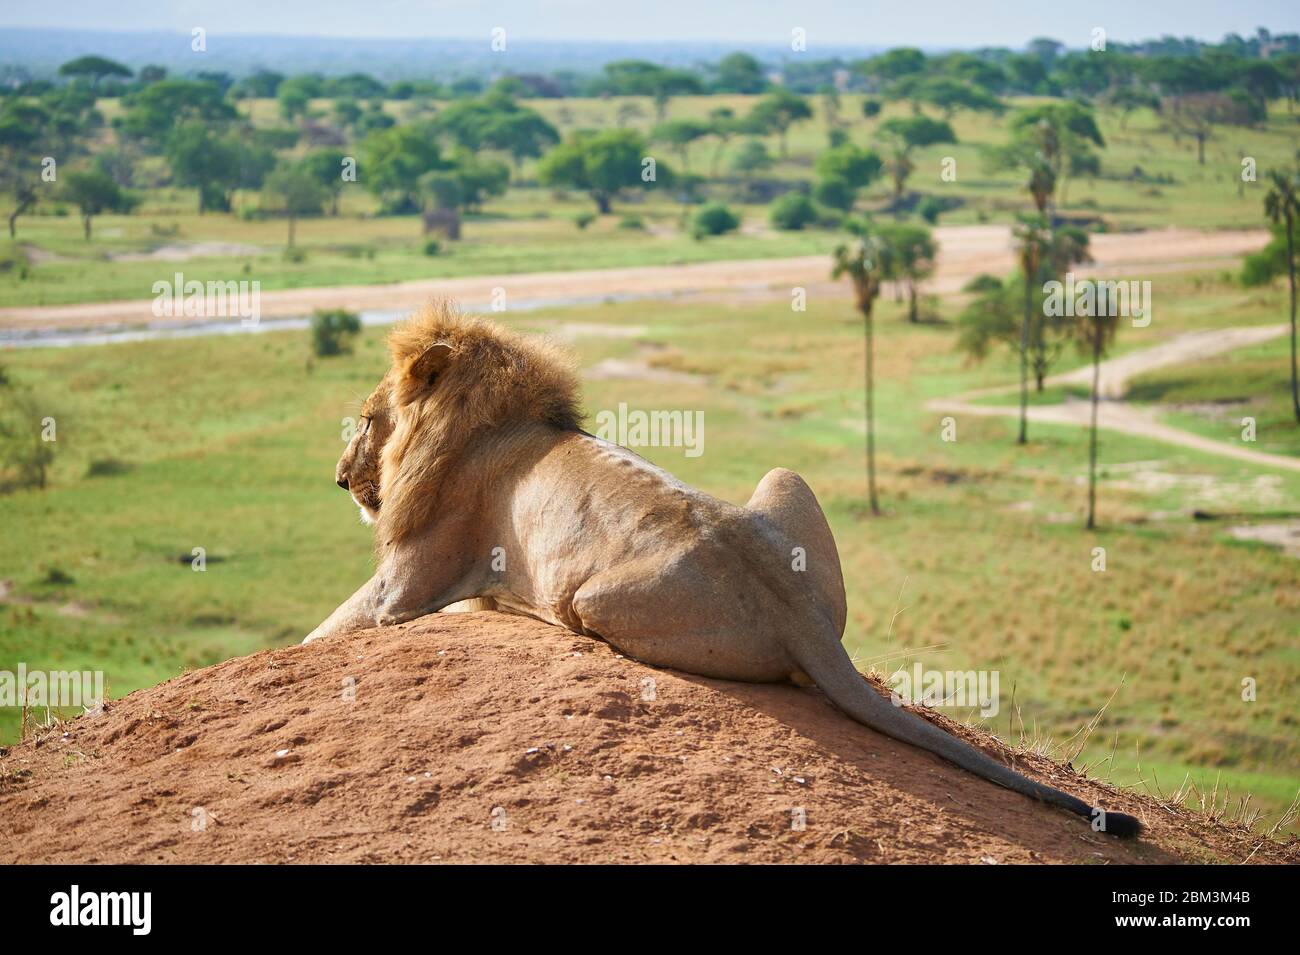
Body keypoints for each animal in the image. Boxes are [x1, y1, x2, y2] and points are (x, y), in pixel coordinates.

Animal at [304, 301, 1141, 838]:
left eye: (367, 420)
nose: (339, 480)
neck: (483, 424)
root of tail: (799, 615)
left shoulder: (406, 584)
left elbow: (329, 630)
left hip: (594, 597)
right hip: (784, 478)